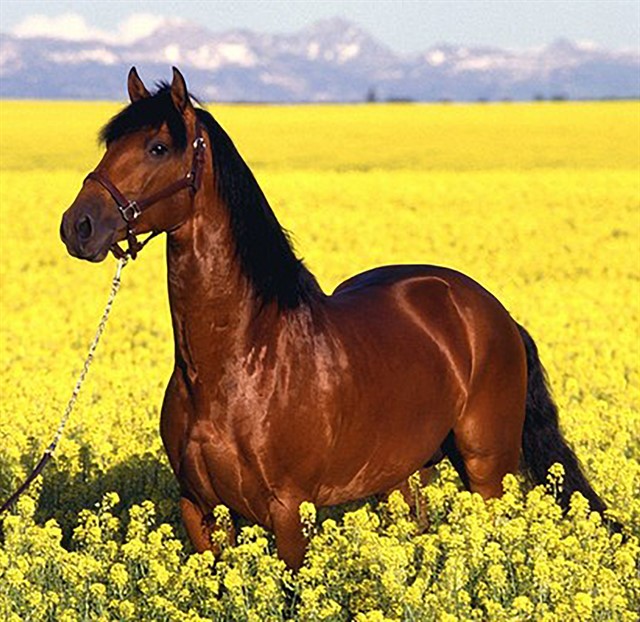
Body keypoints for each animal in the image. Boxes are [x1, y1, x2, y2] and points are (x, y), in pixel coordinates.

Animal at [60, 67, 613, 569]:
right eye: (110, 143)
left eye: (158, 147)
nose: (78, 226)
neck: (236, 361)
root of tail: (491, 311)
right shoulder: (200, 509)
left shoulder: (288, 510)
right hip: (403, 473)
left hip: (485, 468)